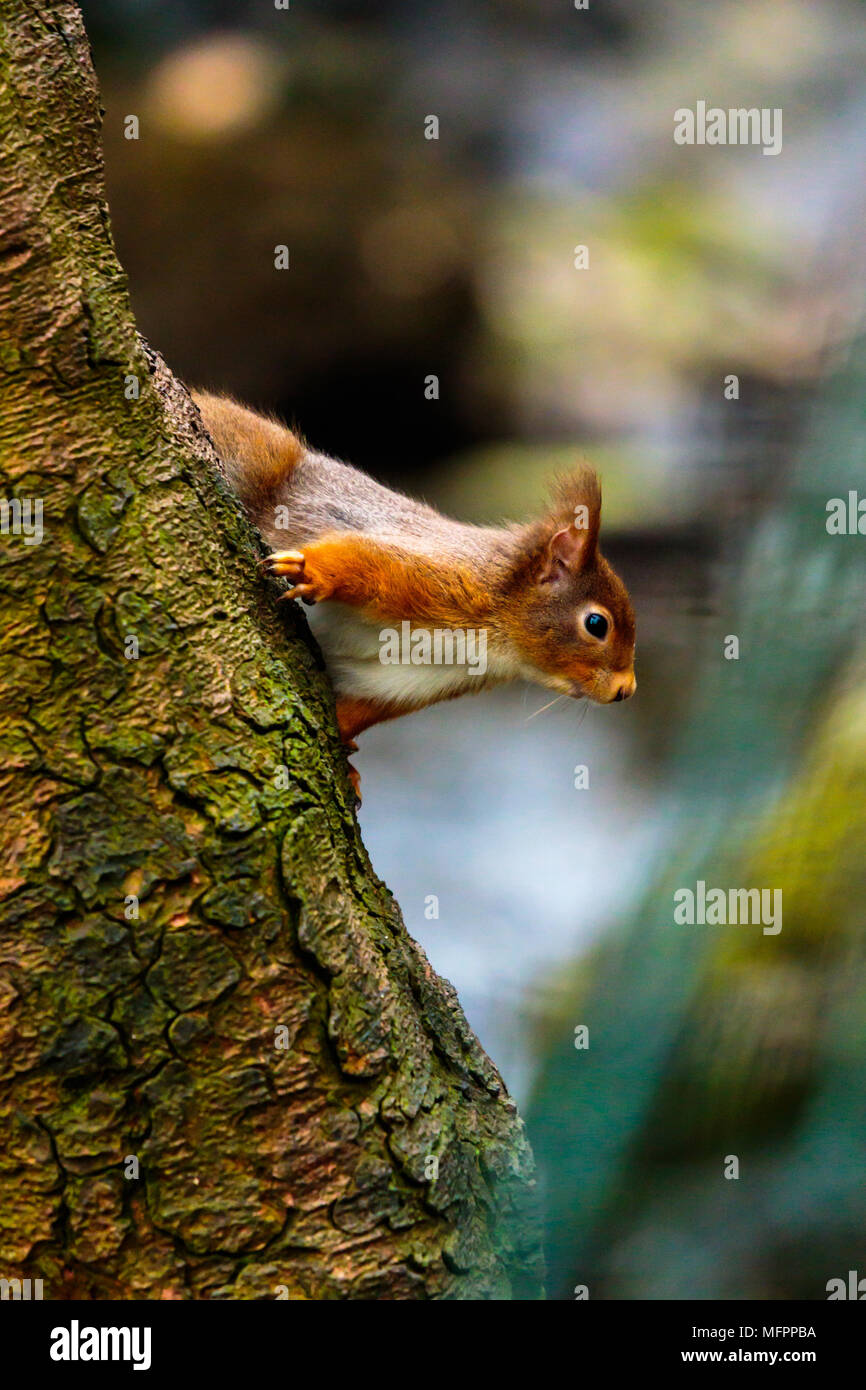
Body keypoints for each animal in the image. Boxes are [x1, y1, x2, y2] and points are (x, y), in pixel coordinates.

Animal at [192, 391, 636, 796]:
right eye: (596, 624)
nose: (625, 691)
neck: (498, 644)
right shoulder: (437, 575)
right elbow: (363, 560)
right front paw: (312, 571)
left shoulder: (408, 681)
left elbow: (358, 708)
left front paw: (346, 757)